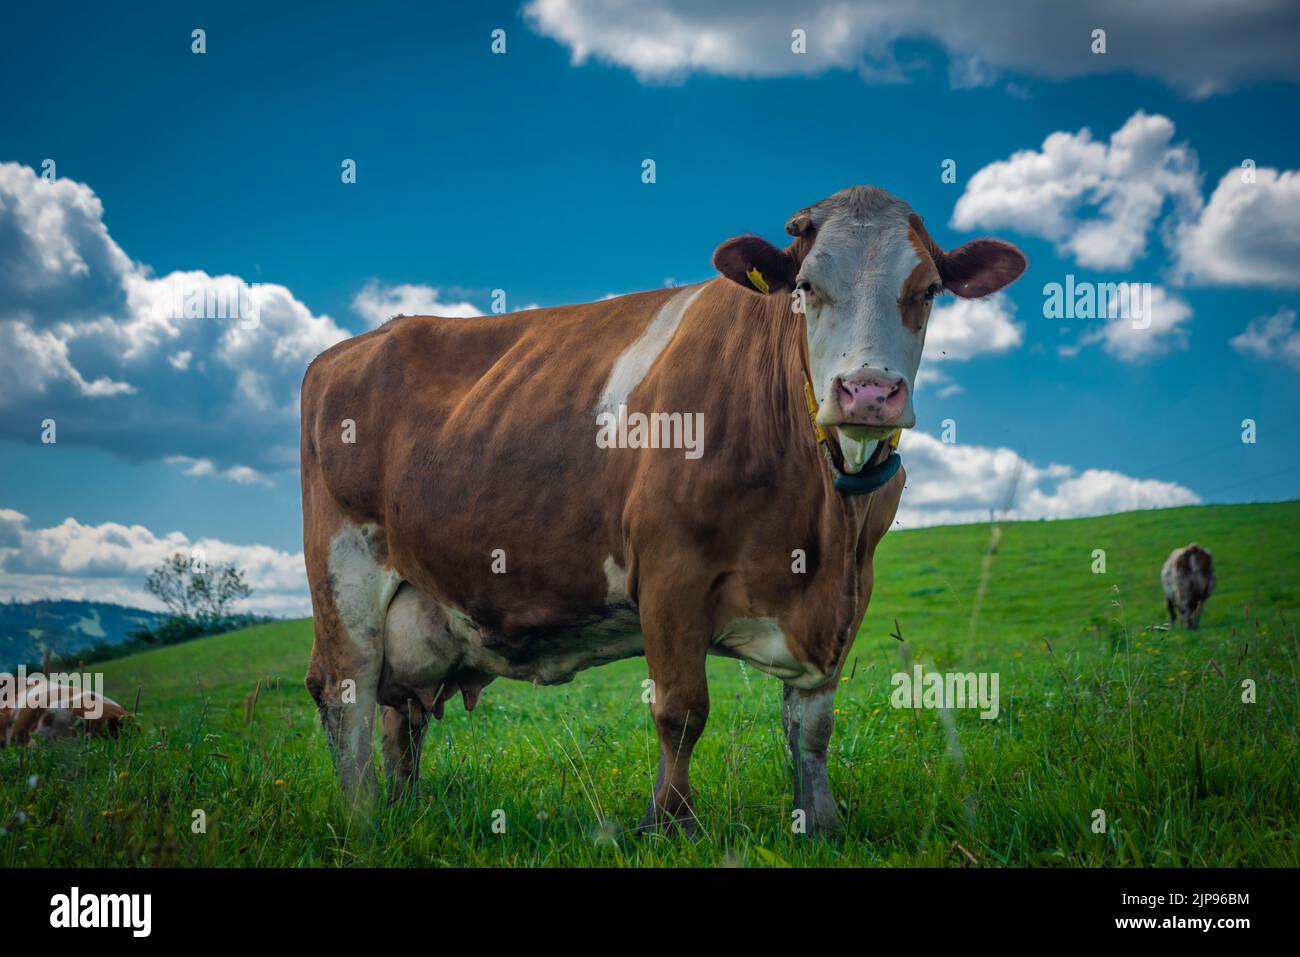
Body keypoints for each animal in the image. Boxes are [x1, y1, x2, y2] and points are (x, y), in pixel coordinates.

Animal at [300, 185, 1027, 834]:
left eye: (927, 290)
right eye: (806, 286)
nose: (868, 392)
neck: (822, 520)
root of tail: (352, 346)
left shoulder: (854, 584)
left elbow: (812, 723)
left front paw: (819, 822)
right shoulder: (672, 568)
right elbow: (681, 711)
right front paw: (671, 824)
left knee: (402, 713)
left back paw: (406, 811)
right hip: (344, 570)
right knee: (345, 691)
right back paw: (365, 823)